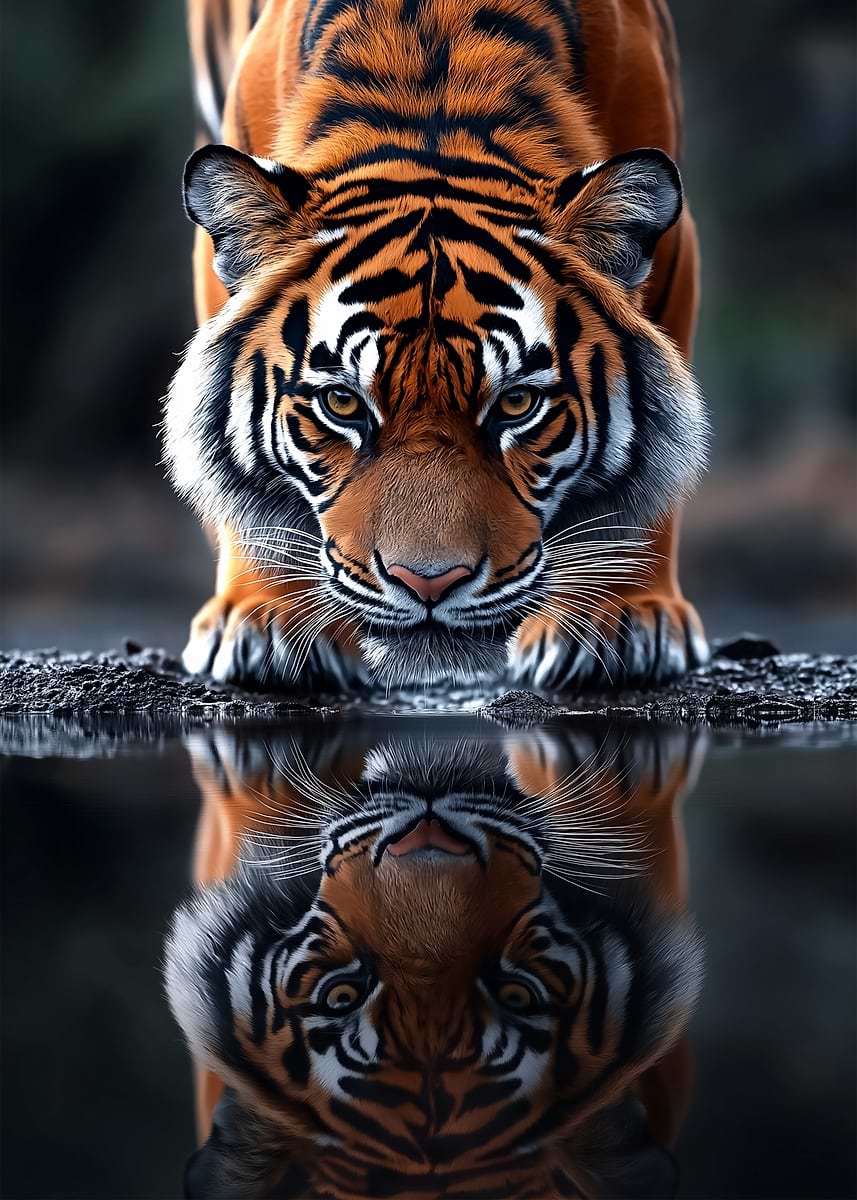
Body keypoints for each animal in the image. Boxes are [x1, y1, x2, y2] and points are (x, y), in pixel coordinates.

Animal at [164, 0, 710, 693]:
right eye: (342, 404)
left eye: (517, 405)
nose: (428, 582)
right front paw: (265, 620)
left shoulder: (674, 252)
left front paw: (622, 620)